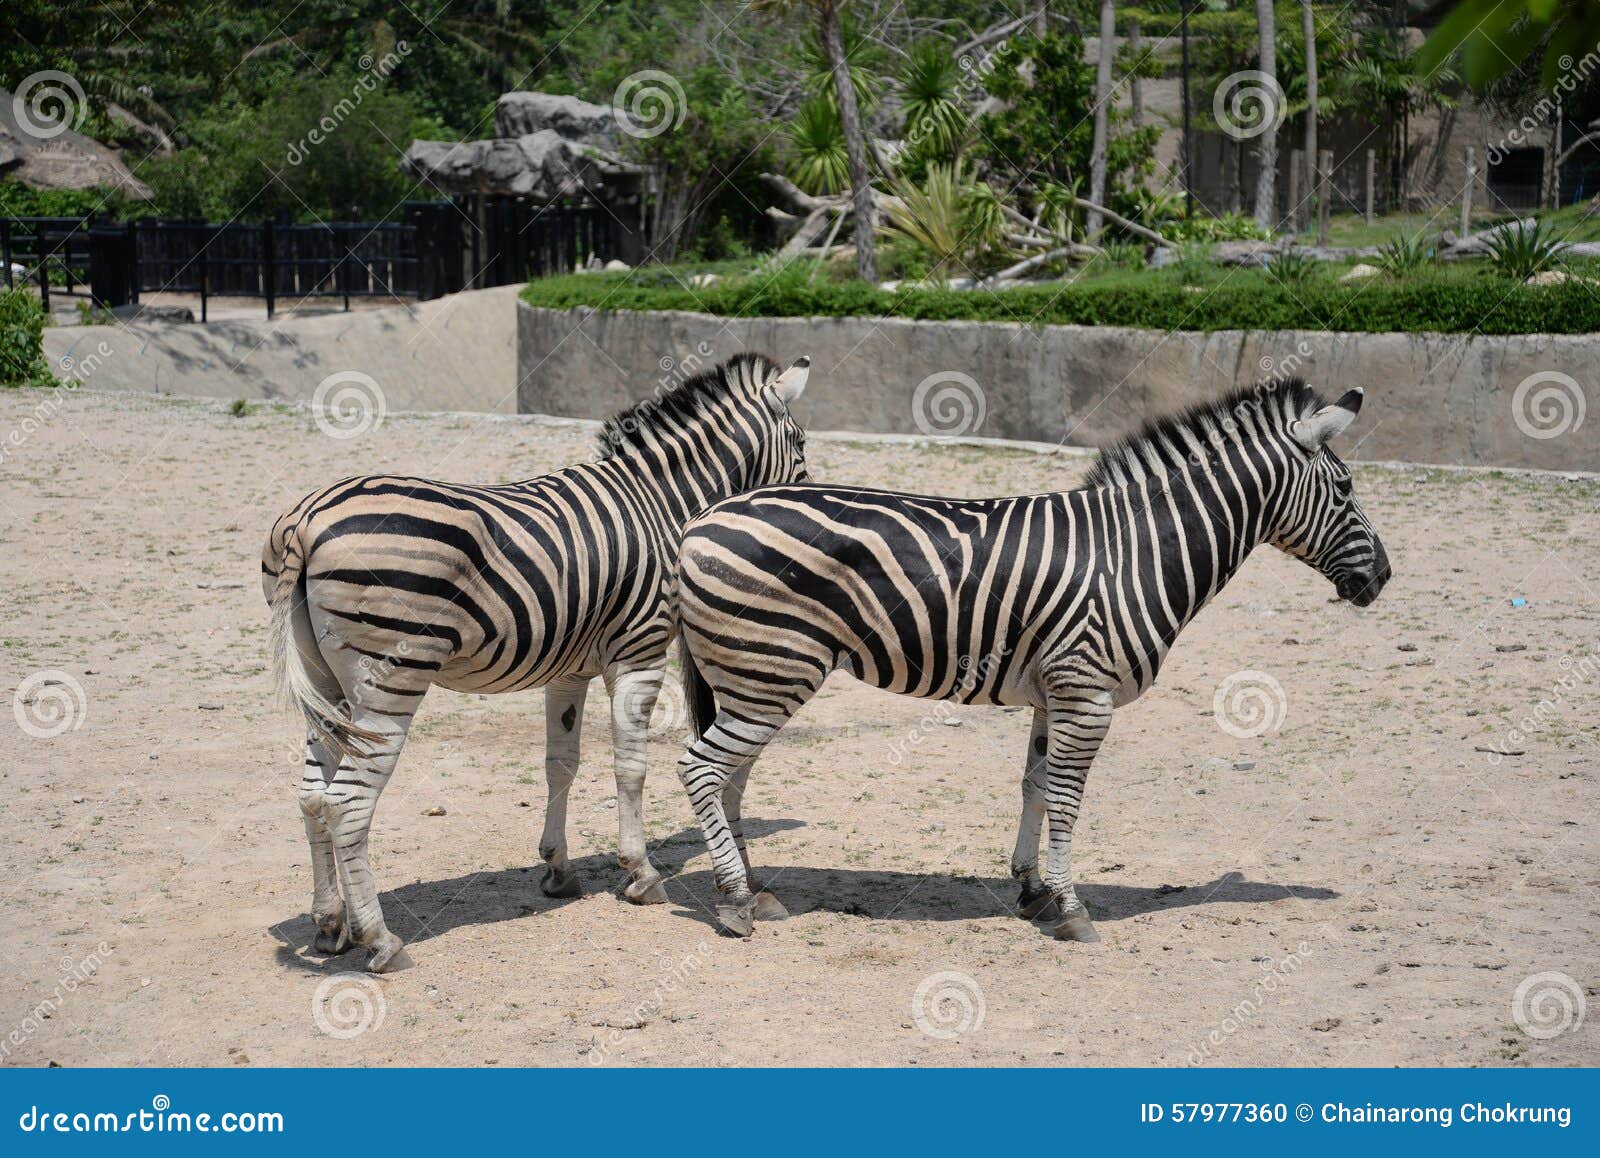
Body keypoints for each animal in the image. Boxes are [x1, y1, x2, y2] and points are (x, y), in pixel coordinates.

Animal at [261, 351, 812, 972]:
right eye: (800, 444)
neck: (660, 501)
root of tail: (307, 520)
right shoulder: (640, 650)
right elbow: (630, 766)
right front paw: (640, 874)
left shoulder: (569, 668)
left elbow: (560, 763)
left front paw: (557, 868)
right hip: (388, 679)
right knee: (347, 803)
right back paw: (379, 940)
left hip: (327, 685)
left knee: (312, 796)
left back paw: (330, 924)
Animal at [674, 378, 1390, 941]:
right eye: (1346, 486)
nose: (1382, 577)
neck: (1136, 551)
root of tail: (703, 518)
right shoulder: (1087, 693)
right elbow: (1069, 800)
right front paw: (1071, 907)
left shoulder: (1056, 693)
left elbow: (1036, 786)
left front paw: (1032, 889)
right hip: (771, 672)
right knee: (702, 769)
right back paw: (735, 902)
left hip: (752, 677)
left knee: (731, 778)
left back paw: (754, 889)